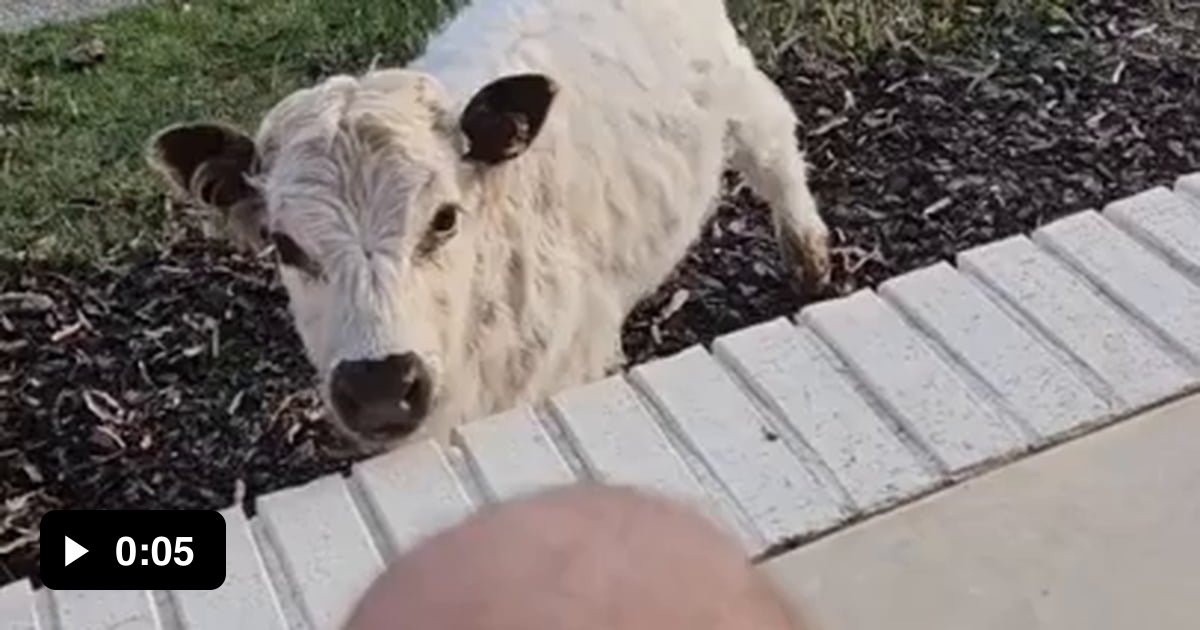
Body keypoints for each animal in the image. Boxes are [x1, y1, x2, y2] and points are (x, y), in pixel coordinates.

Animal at [146, 0, 830, 448]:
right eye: (284, 245)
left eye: (445, 218)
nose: (380, 387)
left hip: (736, 86)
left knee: (775, 149)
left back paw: (810, 259)